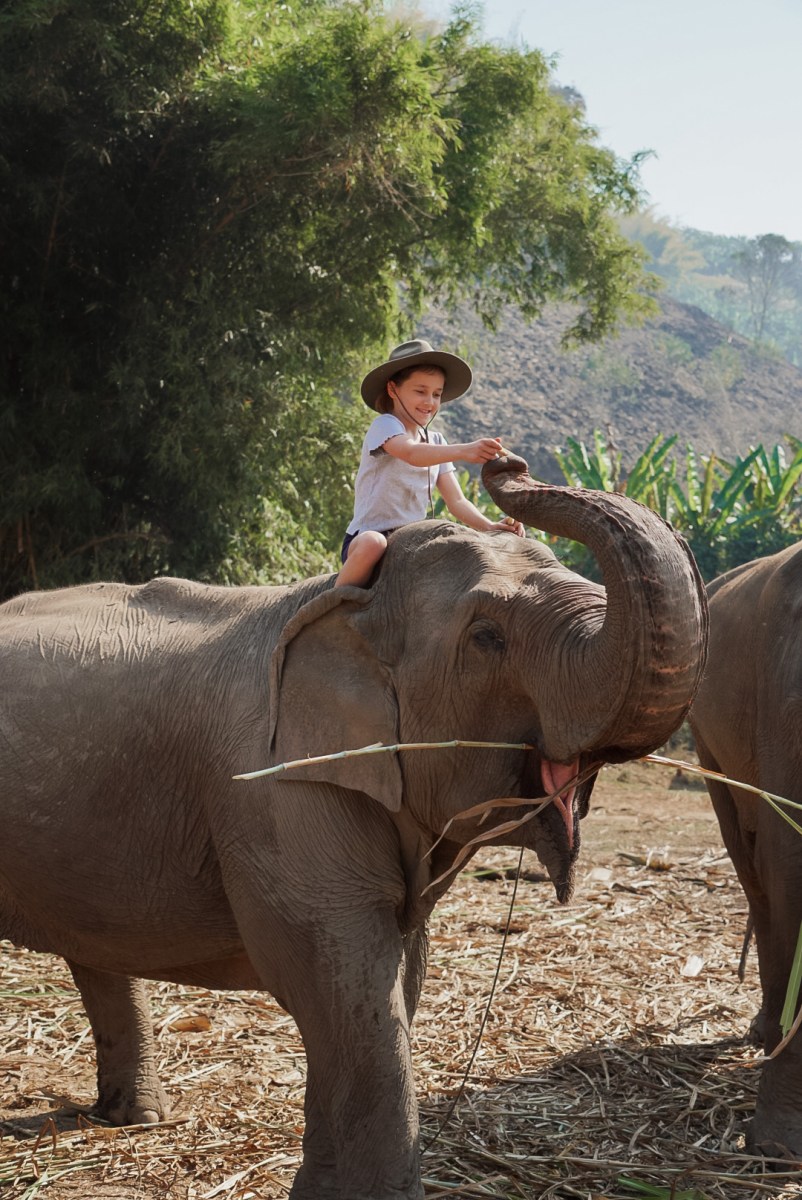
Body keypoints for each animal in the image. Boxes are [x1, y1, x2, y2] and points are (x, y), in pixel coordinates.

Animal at [0, 455, 708, 1199]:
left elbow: (392, 976)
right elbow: (342, 981)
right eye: (487, 637)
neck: (344, 602)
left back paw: (132, 1119)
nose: (504, 464)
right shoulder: (277, 787)